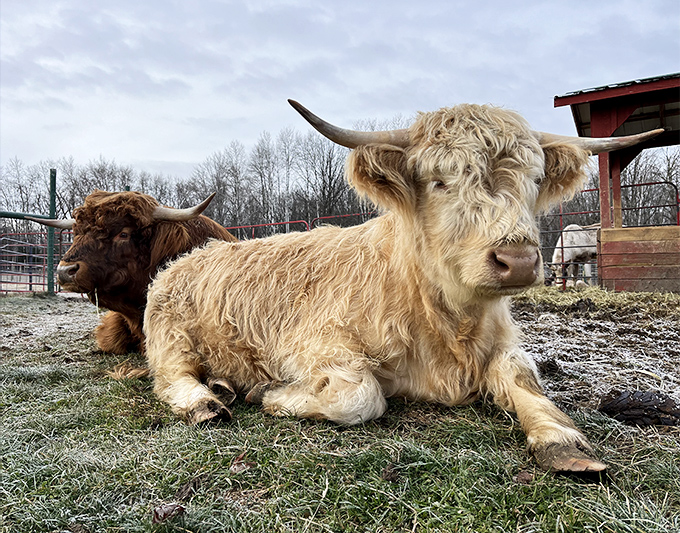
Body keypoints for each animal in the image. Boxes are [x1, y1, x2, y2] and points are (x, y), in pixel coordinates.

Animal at [143, 100, 661, 473]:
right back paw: (208, 401)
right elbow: (360, 397)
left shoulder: (502, 344)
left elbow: (523, 379)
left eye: (534, 180)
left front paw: (562, 439)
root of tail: (192, 255)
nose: (517, 261)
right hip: (171, 339)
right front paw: (269, 394)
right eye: (439, 181)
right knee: (172, 378)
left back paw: (223, 384)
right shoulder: (311, 346)